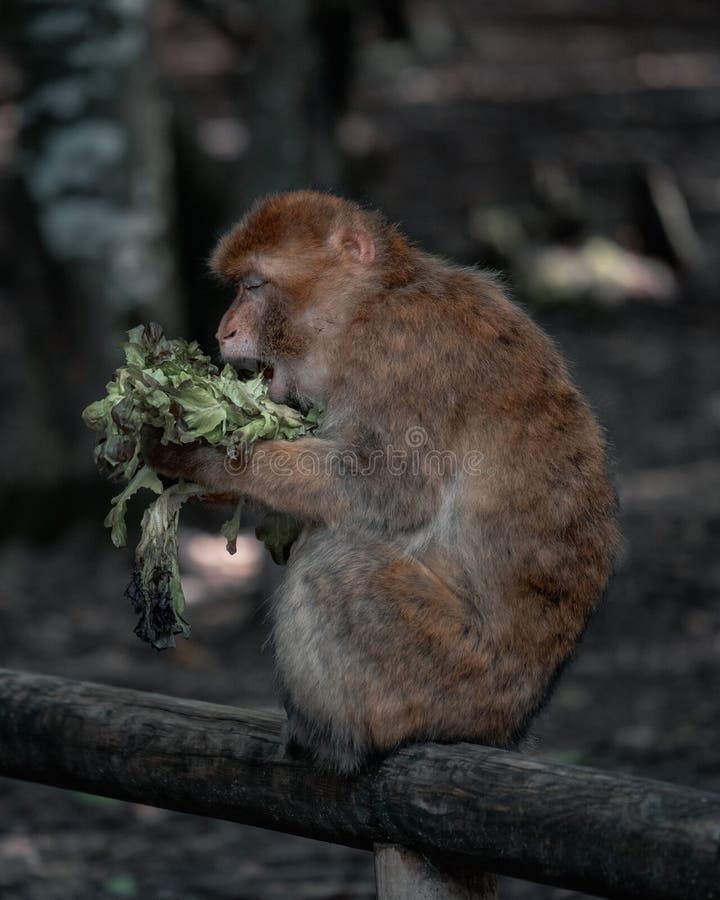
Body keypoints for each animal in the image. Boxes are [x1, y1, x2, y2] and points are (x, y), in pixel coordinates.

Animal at [143, 190, 619, 774]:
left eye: (253, 286)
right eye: (237, 286)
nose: (223, 331)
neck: (368, 306)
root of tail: (507, 726)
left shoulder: (398, 352)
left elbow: (387, 490)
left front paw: (197, 451)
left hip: (449, 677)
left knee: (337, 562)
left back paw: (333, 737)